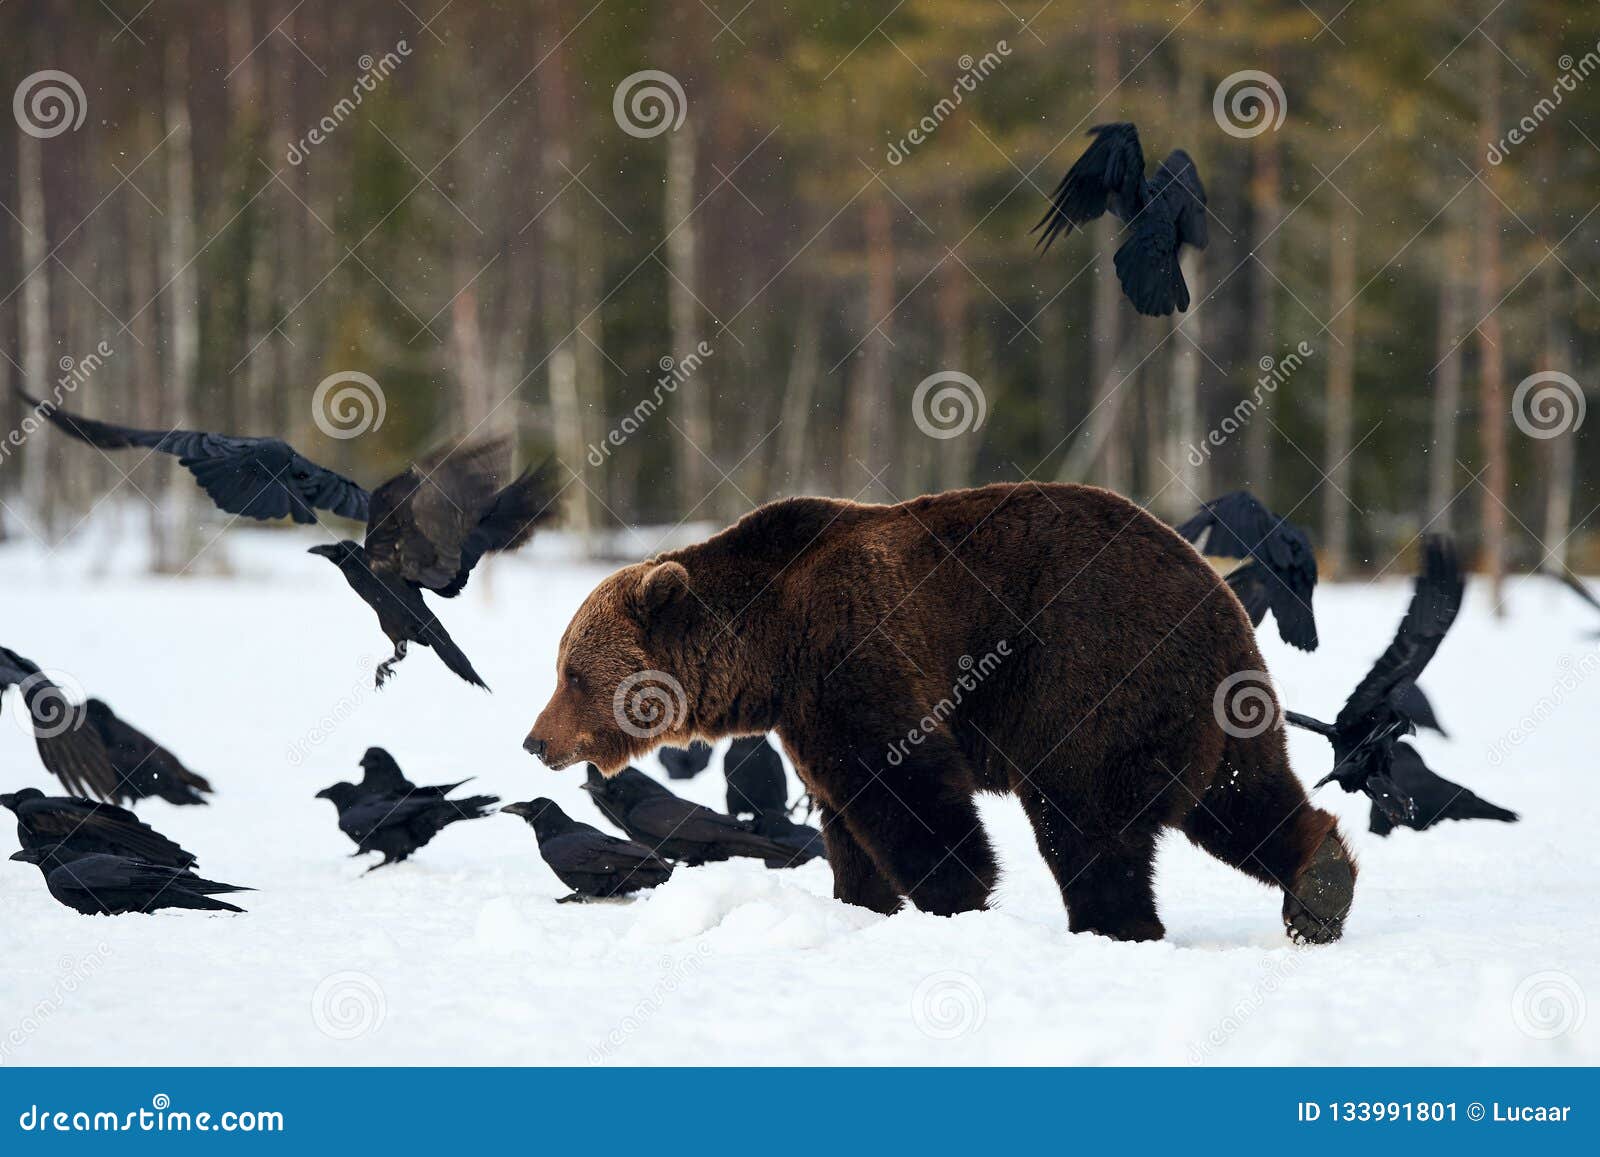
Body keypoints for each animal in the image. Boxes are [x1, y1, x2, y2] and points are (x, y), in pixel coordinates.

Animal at [525, 482, 1355, 944]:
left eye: (572, 672)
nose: (536, 739)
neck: (770, 647)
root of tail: (1218, 596)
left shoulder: (856, 657)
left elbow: (909, 793)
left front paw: (955, 897)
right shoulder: (809, 710)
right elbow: (845, 816)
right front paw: (862, 899)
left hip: (1091, 680)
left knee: (1086, 822)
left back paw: (1116, 924)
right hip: (1214, 710)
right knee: (1246, 799)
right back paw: (1320, 886)